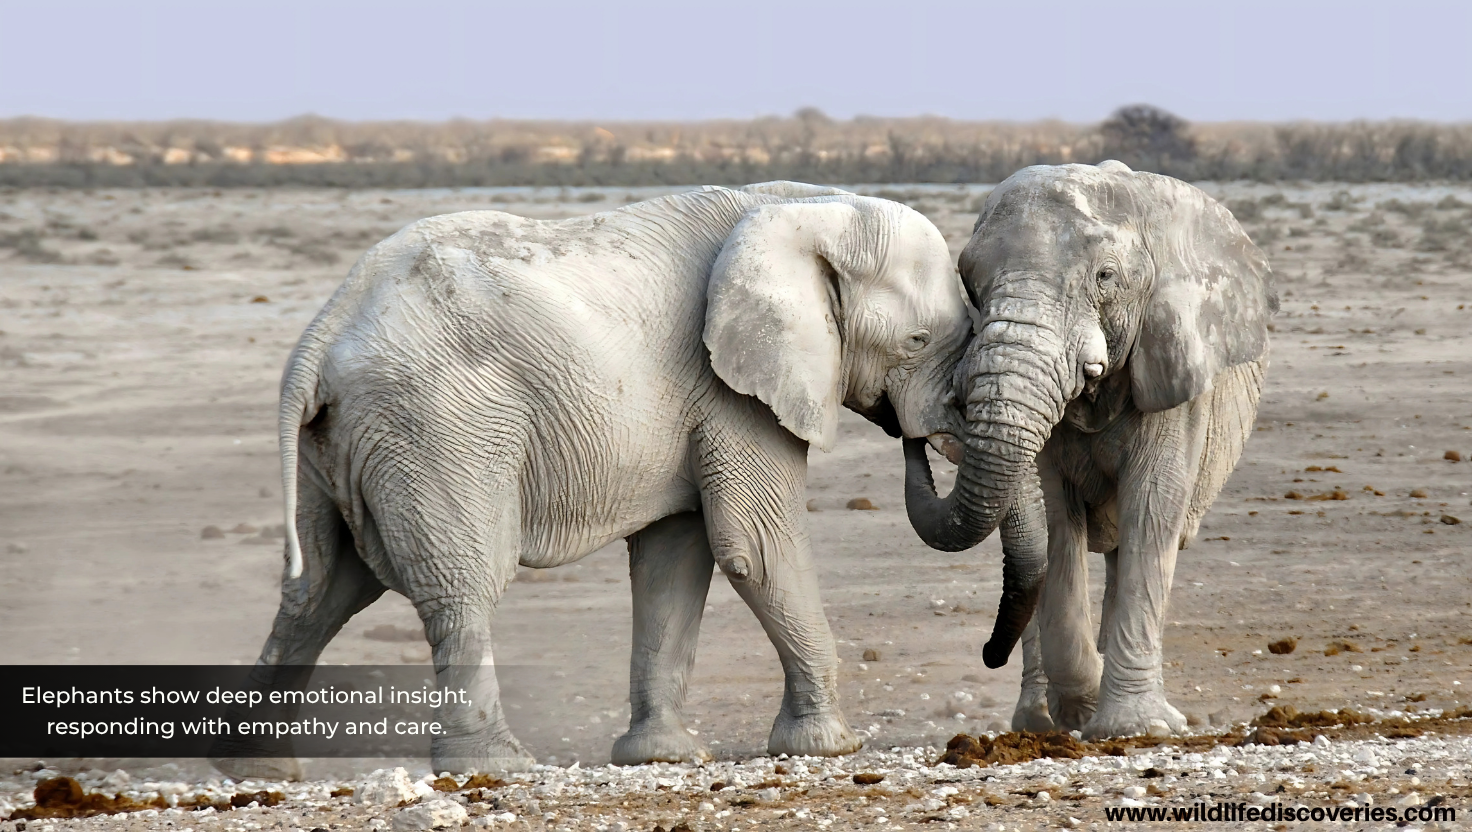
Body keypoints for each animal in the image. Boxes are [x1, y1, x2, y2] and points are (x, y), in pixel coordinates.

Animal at [210, 181, 974, 778]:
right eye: (916, 342)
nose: (915, 437)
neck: (809, 208)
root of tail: (322, 333)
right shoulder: (733, 390)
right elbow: (755, 548)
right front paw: (828, 746)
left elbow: (675, 559)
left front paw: (661, 757)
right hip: (436, 426)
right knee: (462, 584)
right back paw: (497, 767)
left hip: (341, 442)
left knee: (321, 590)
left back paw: (258, 769)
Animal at [903, 161, 1276, 738]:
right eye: (969, 282)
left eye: (1105, 277)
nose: (917, 436)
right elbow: (1056, 519)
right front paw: (1086, 706)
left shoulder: (1173, 366)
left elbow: (1154, 507)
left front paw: (1136, 729)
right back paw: (1039, 722)